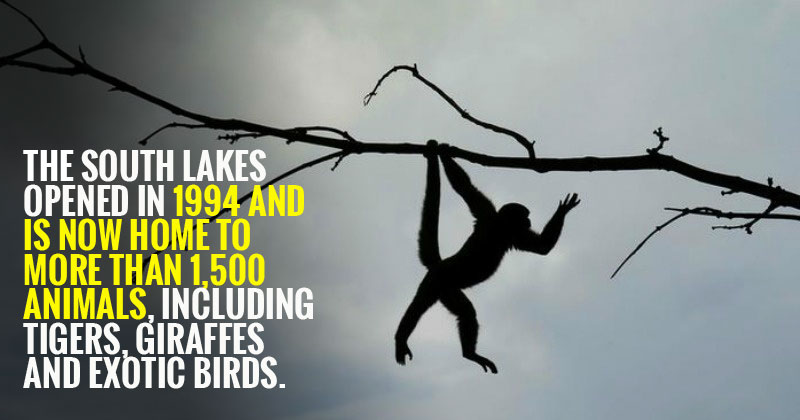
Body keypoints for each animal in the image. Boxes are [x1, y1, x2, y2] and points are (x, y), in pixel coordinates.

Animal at [395, 140, 580, 373]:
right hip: (439, 282)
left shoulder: (510, 232)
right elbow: (464, 187)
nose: (529, 221)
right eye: (526, 216)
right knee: (439, 309)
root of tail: (441, 264)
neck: (500, 227)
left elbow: (543, 247)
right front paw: (444, 151)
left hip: (442, 289)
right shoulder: (490, 216)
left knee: (450, 311)